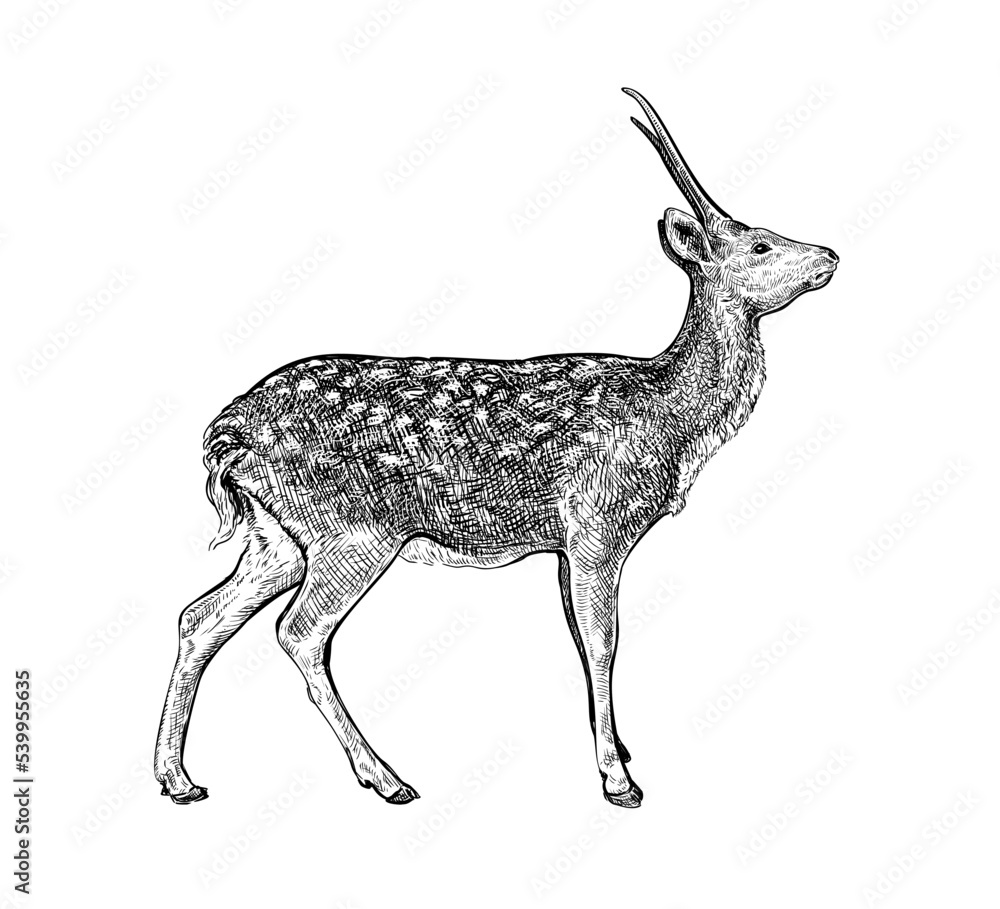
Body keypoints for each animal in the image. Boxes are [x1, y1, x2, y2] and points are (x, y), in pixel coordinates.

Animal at [154, 88, 838, 809]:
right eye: (760, 243)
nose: (830, 255)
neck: (670, 418)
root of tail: (226, 433)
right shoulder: (597, 526)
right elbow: (603, 642)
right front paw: (618, 779)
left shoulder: (565, 544)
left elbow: (579, 640)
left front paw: (620, 751)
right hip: (351, 531)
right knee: (298, 632)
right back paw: (386, 777)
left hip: (278, 535)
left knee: (200, 614)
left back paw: (178, 778)